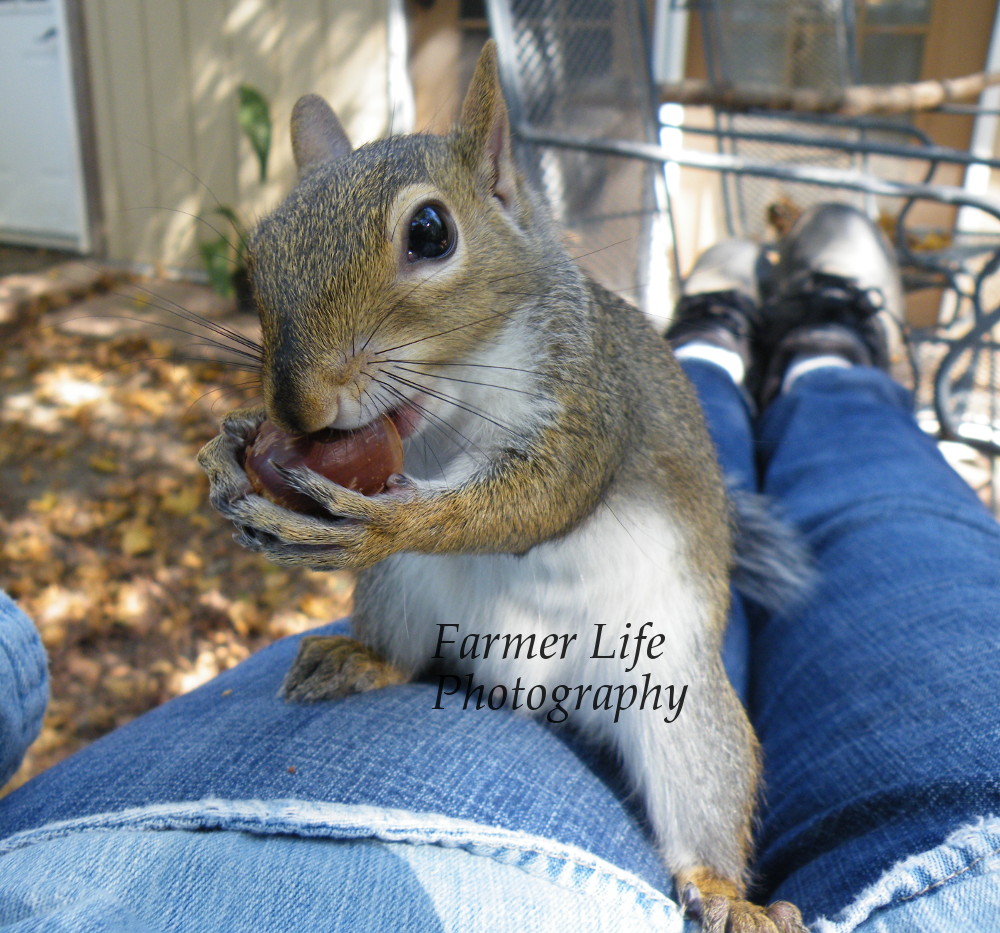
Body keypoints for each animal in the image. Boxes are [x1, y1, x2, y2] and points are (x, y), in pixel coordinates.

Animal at [197, 41, 806, 933]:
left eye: (429, 231)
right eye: (263, 244)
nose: (297, 406)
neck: (451, 403)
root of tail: (535, 689)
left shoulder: (589, 396)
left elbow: (542, 497)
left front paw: (385, 523)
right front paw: (226, 449)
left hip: (682, 707)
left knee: (705, 790)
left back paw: (728, 895)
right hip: (404, 598)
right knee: (403, 654)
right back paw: (358, 659)